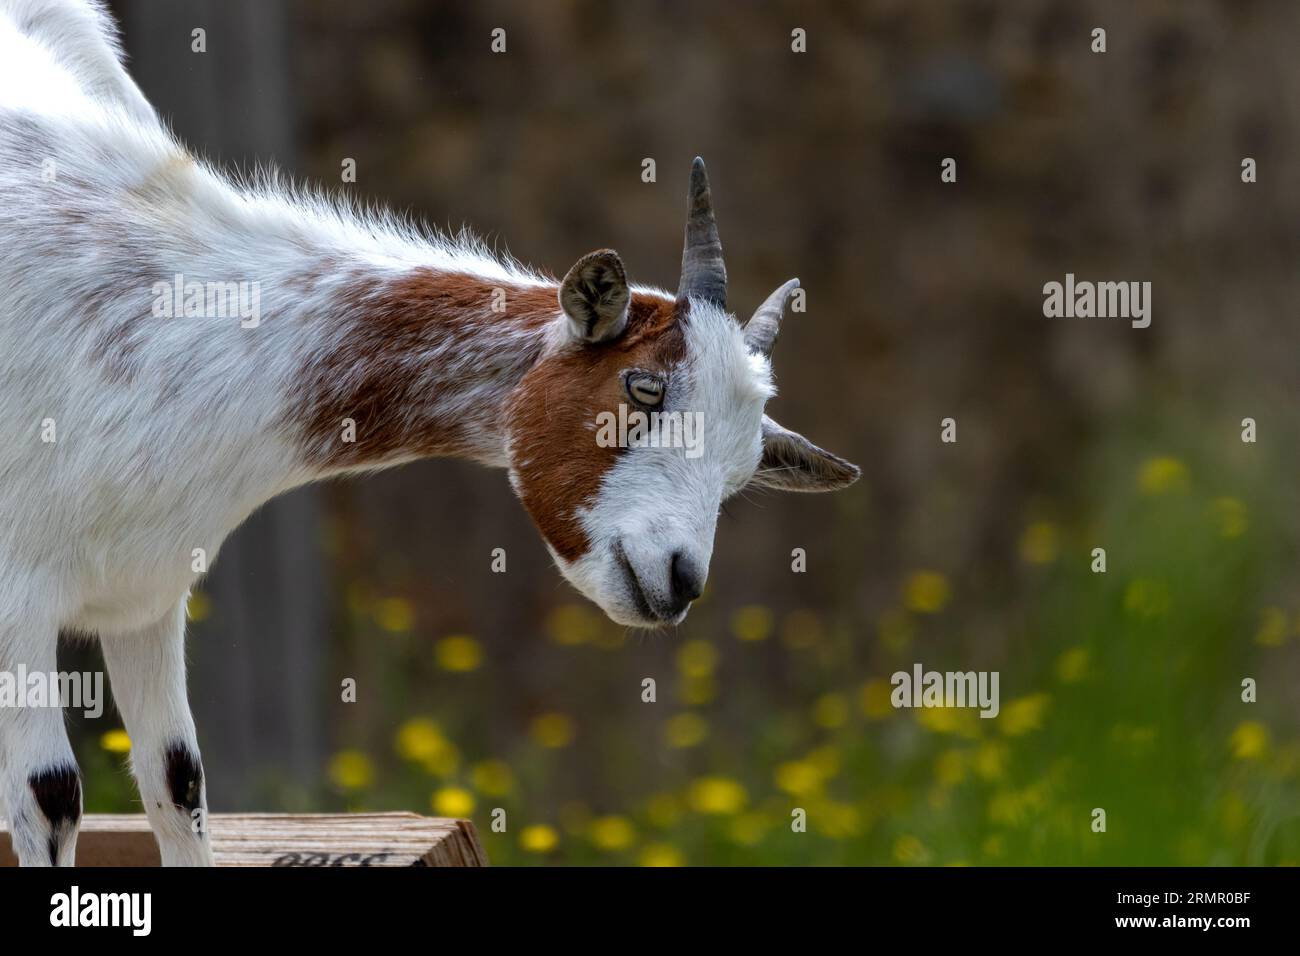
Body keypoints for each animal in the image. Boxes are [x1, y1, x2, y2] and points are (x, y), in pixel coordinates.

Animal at [0, 0, 859, 866]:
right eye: (642, 386)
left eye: (741, 470)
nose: (679, 579)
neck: (174, 309)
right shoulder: (18, 601)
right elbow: (51, 799)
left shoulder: (147, 593)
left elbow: (178, 783)